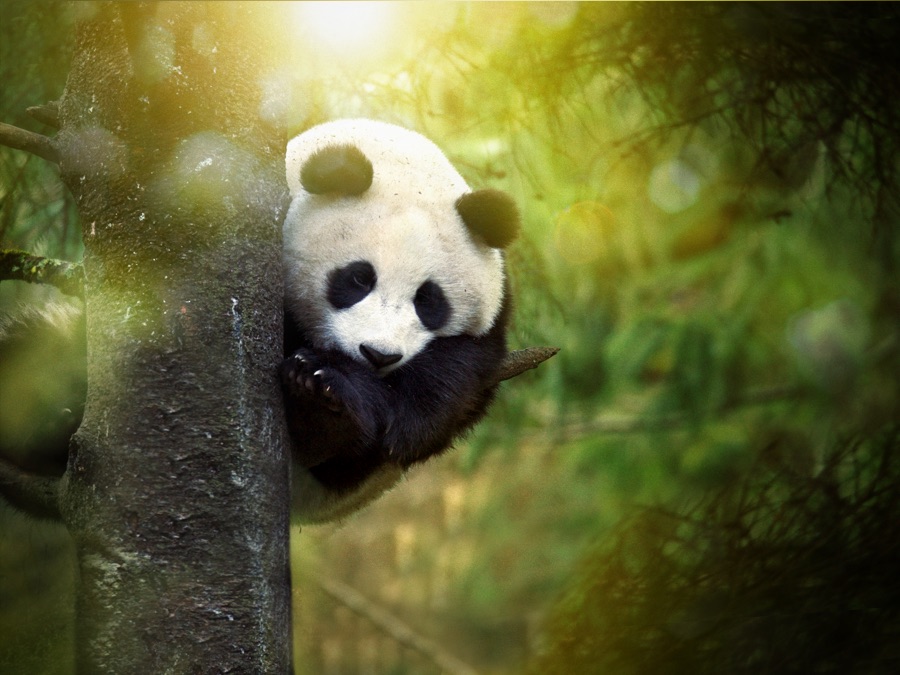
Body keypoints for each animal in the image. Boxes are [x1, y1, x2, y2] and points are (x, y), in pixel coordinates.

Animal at [281, 119, 519, 523]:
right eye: (359, 279)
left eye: (427, 300)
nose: (378, 355)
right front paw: (320, 388)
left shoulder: (491, 321)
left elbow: (446, 385)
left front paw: (331, 395)